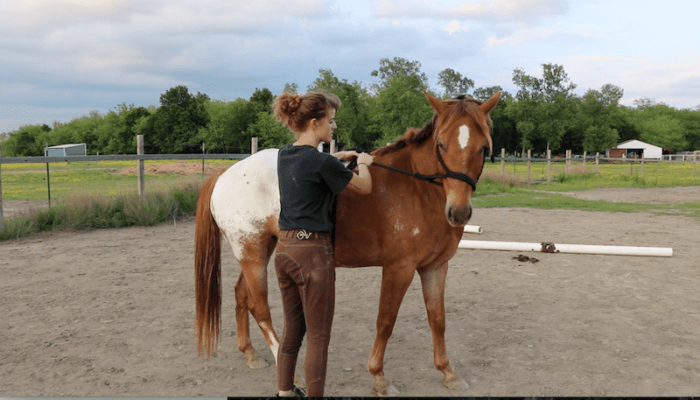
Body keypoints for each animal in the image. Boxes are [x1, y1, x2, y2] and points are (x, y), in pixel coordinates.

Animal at [194, 91, 501, 396]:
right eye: (441, 145)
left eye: (484, 148)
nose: (458, 212)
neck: (417, 187)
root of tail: (224, 175)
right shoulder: (398, 268)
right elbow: (386, 320)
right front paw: (379, 377)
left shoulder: (435, 267)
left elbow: (438, 319)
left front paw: (448, 372)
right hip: (252, 253)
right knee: (259, 307)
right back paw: (293, 375)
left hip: (259, 251)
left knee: (241, 295)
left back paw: (250, 354)